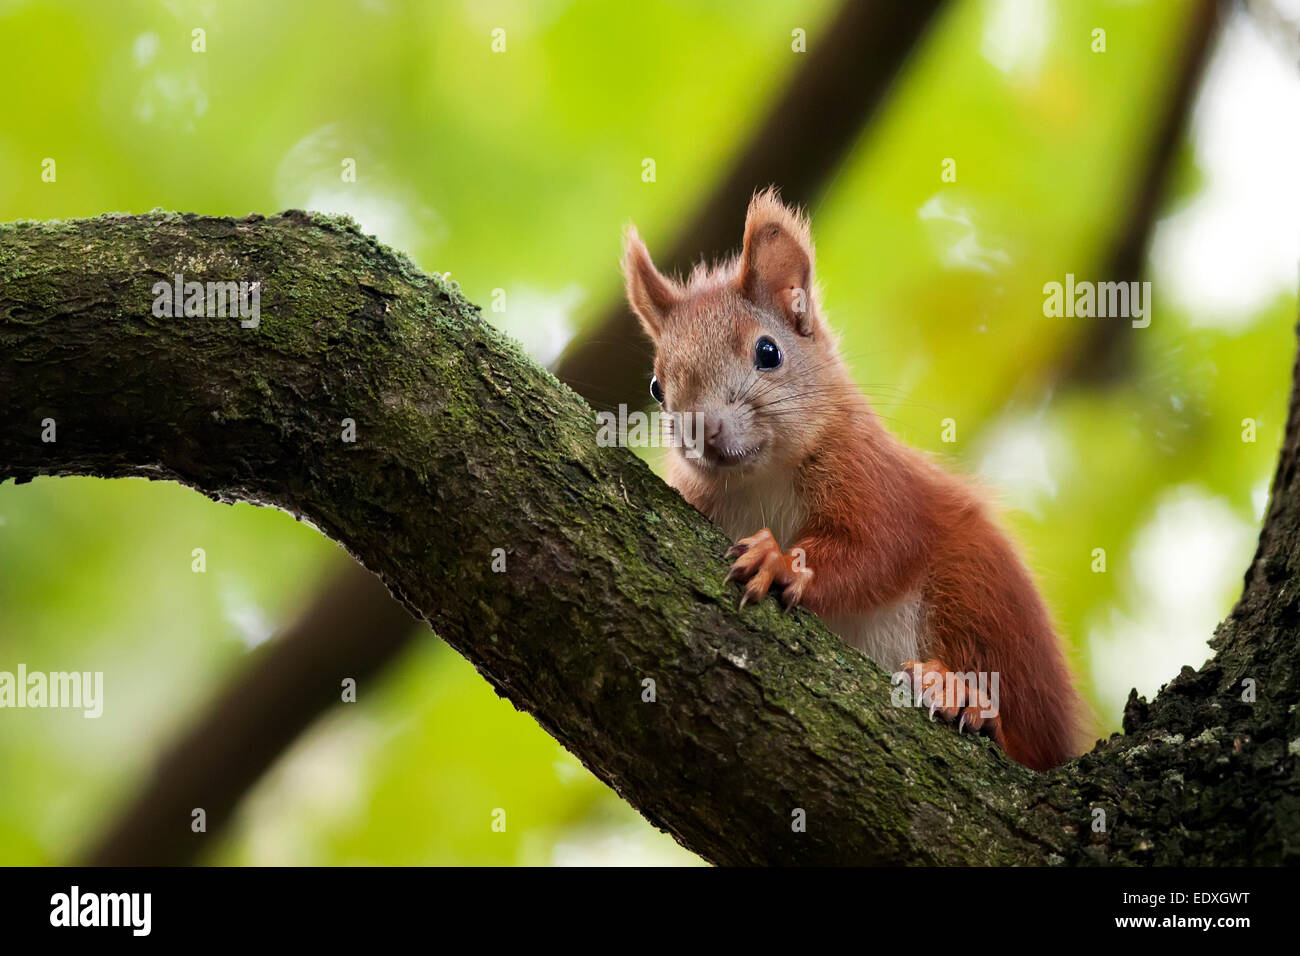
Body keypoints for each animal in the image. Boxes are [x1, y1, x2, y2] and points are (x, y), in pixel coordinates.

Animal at [622, 188, 1084, 771]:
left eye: (768, 352)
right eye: (657, 388)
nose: (701, 430)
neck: (762, 478)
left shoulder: (873, 478)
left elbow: (877, 549)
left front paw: (778, 560)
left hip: (977, 598)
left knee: (1020, 730)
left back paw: (961, 696)